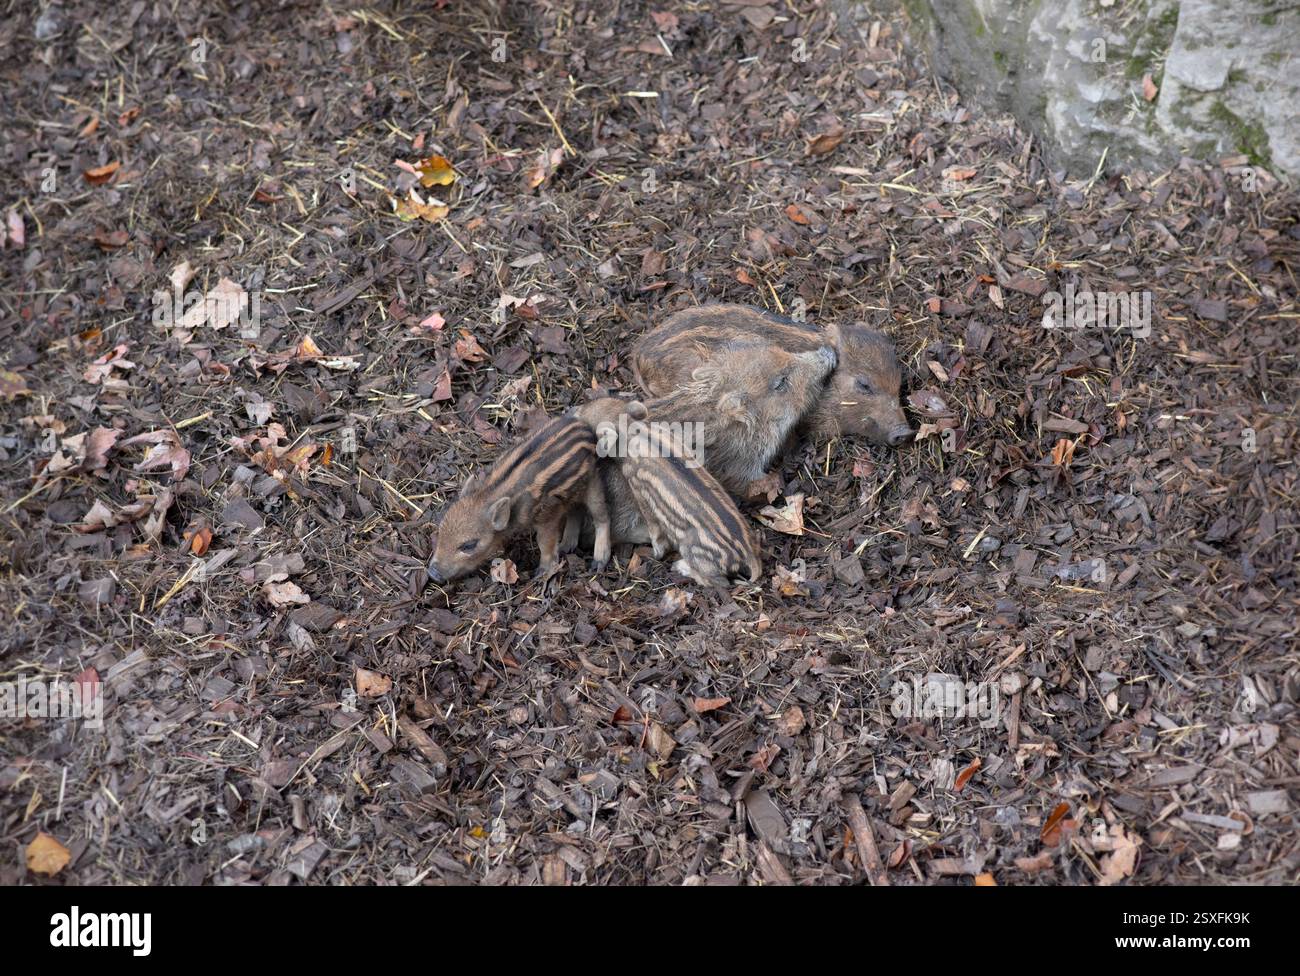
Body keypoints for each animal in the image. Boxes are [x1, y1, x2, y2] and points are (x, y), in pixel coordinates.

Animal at [427, 414, 610, 583]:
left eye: (469, 545)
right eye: (440, 531)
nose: (432, 574)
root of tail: (584, 427)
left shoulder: (548, 514)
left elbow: (544, 541)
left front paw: (542, 572)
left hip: (593, 480)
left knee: (601, 516)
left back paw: (599, 562)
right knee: (576, 510)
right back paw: (566, 546)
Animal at [580, 397, 761, 588]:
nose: (575, 410)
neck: (632, 430)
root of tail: (748, 555)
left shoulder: (638, 487)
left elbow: (654, 527)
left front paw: (656, 553)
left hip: (693, 551)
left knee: (718, 582)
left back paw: (680, 567)